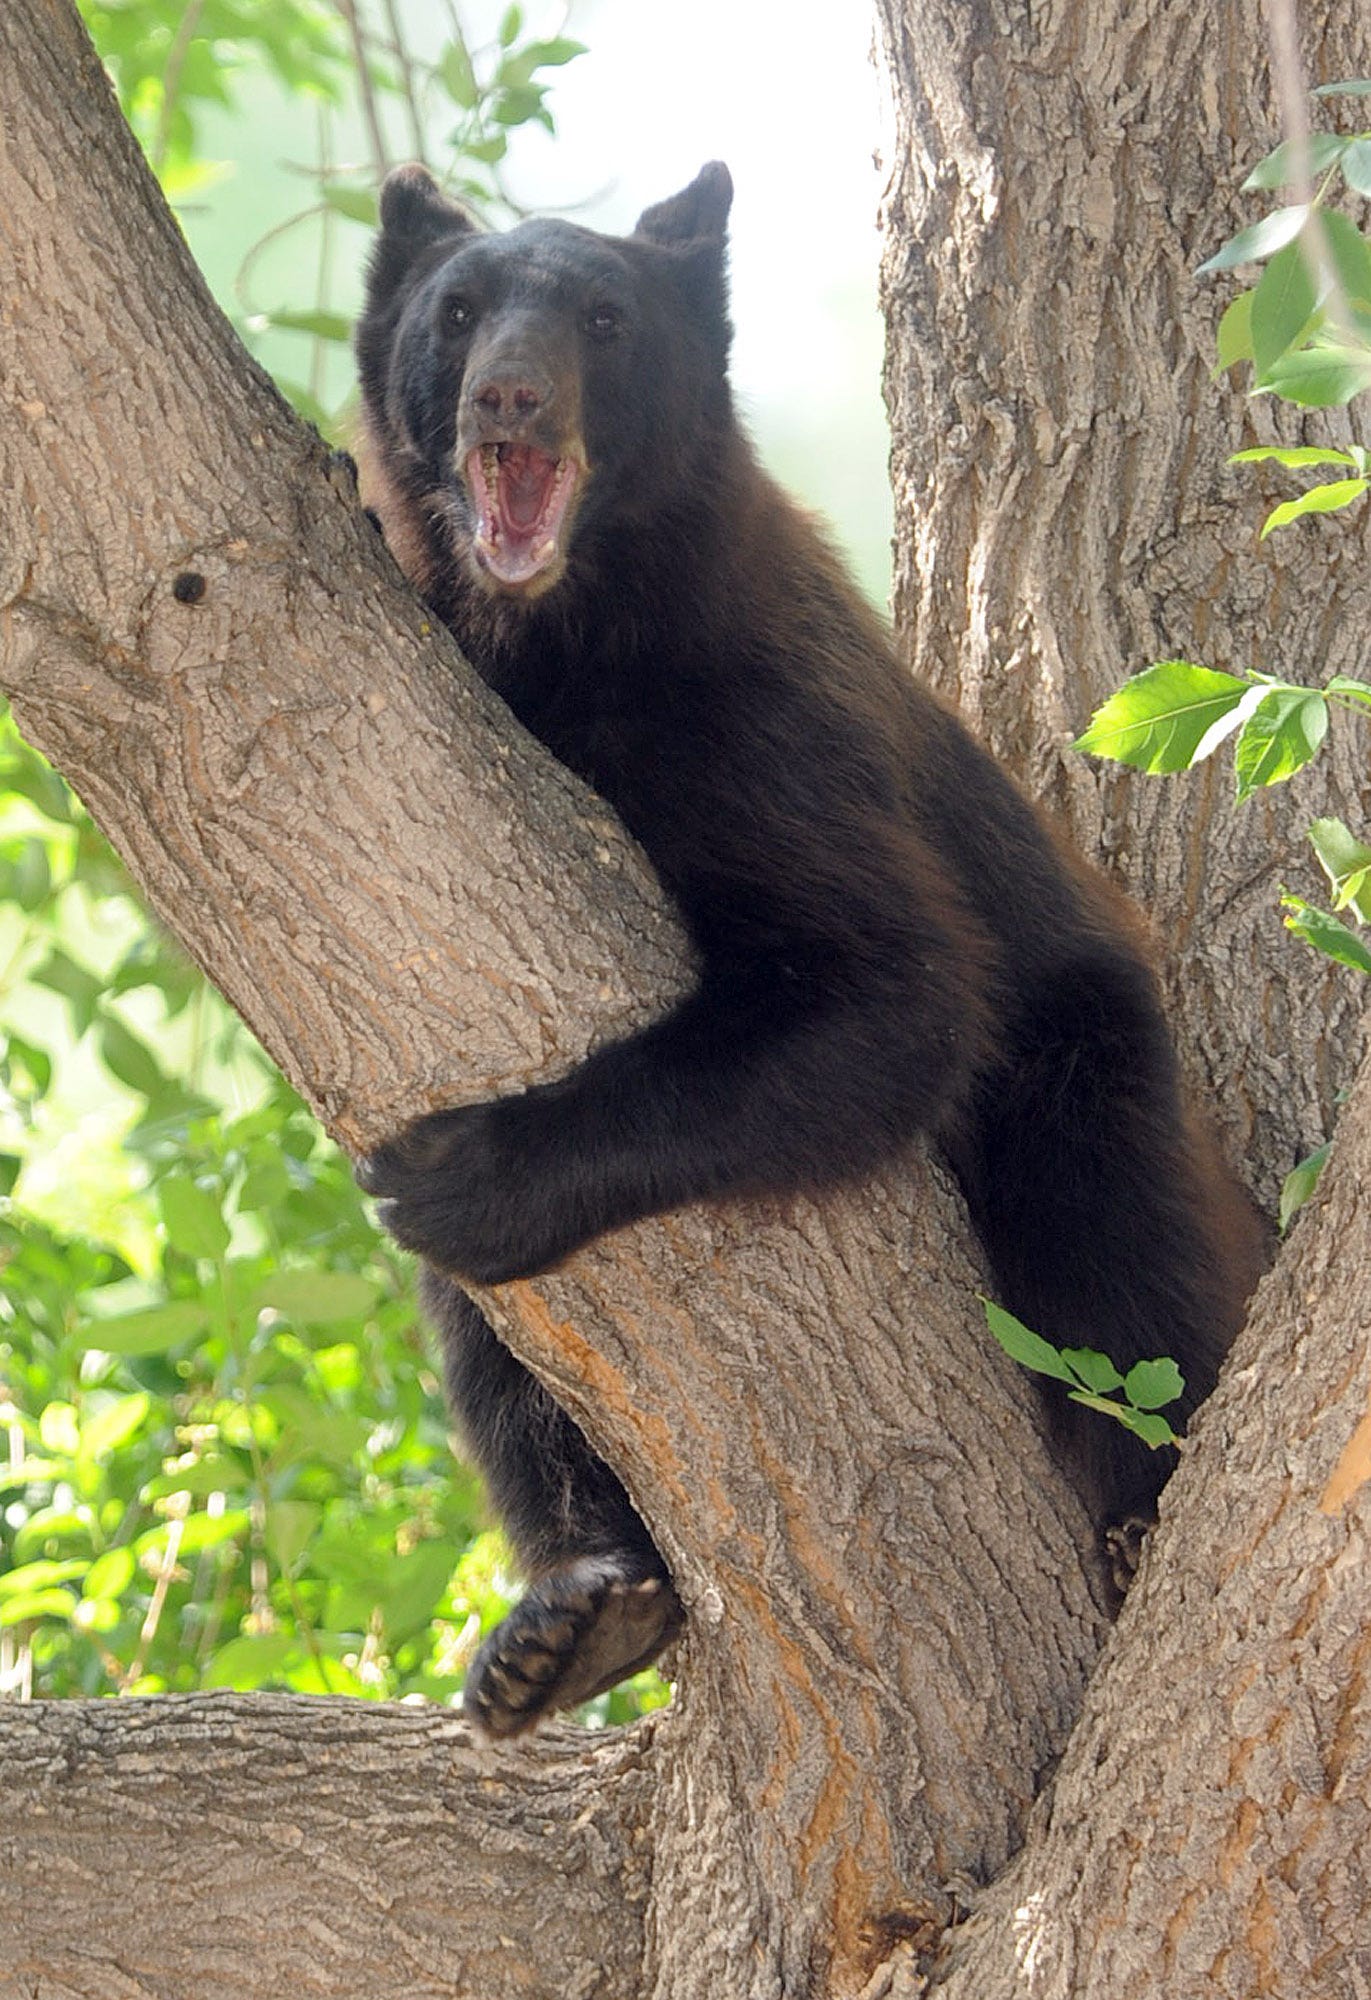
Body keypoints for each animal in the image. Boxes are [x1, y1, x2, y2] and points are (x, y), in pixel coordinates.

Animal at [354, 160, 1267, 1738]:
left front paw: (471, 1170)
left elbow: (887, 993)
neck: (564, 633)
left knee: (1119, 1260)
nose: (510, 397)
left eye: (604, 319)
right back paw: (572, 1614)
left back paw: (1139, 1512)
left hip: (1091, 1063)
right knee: (492, 1353)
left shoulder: (756, 713)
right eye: (455, 311)